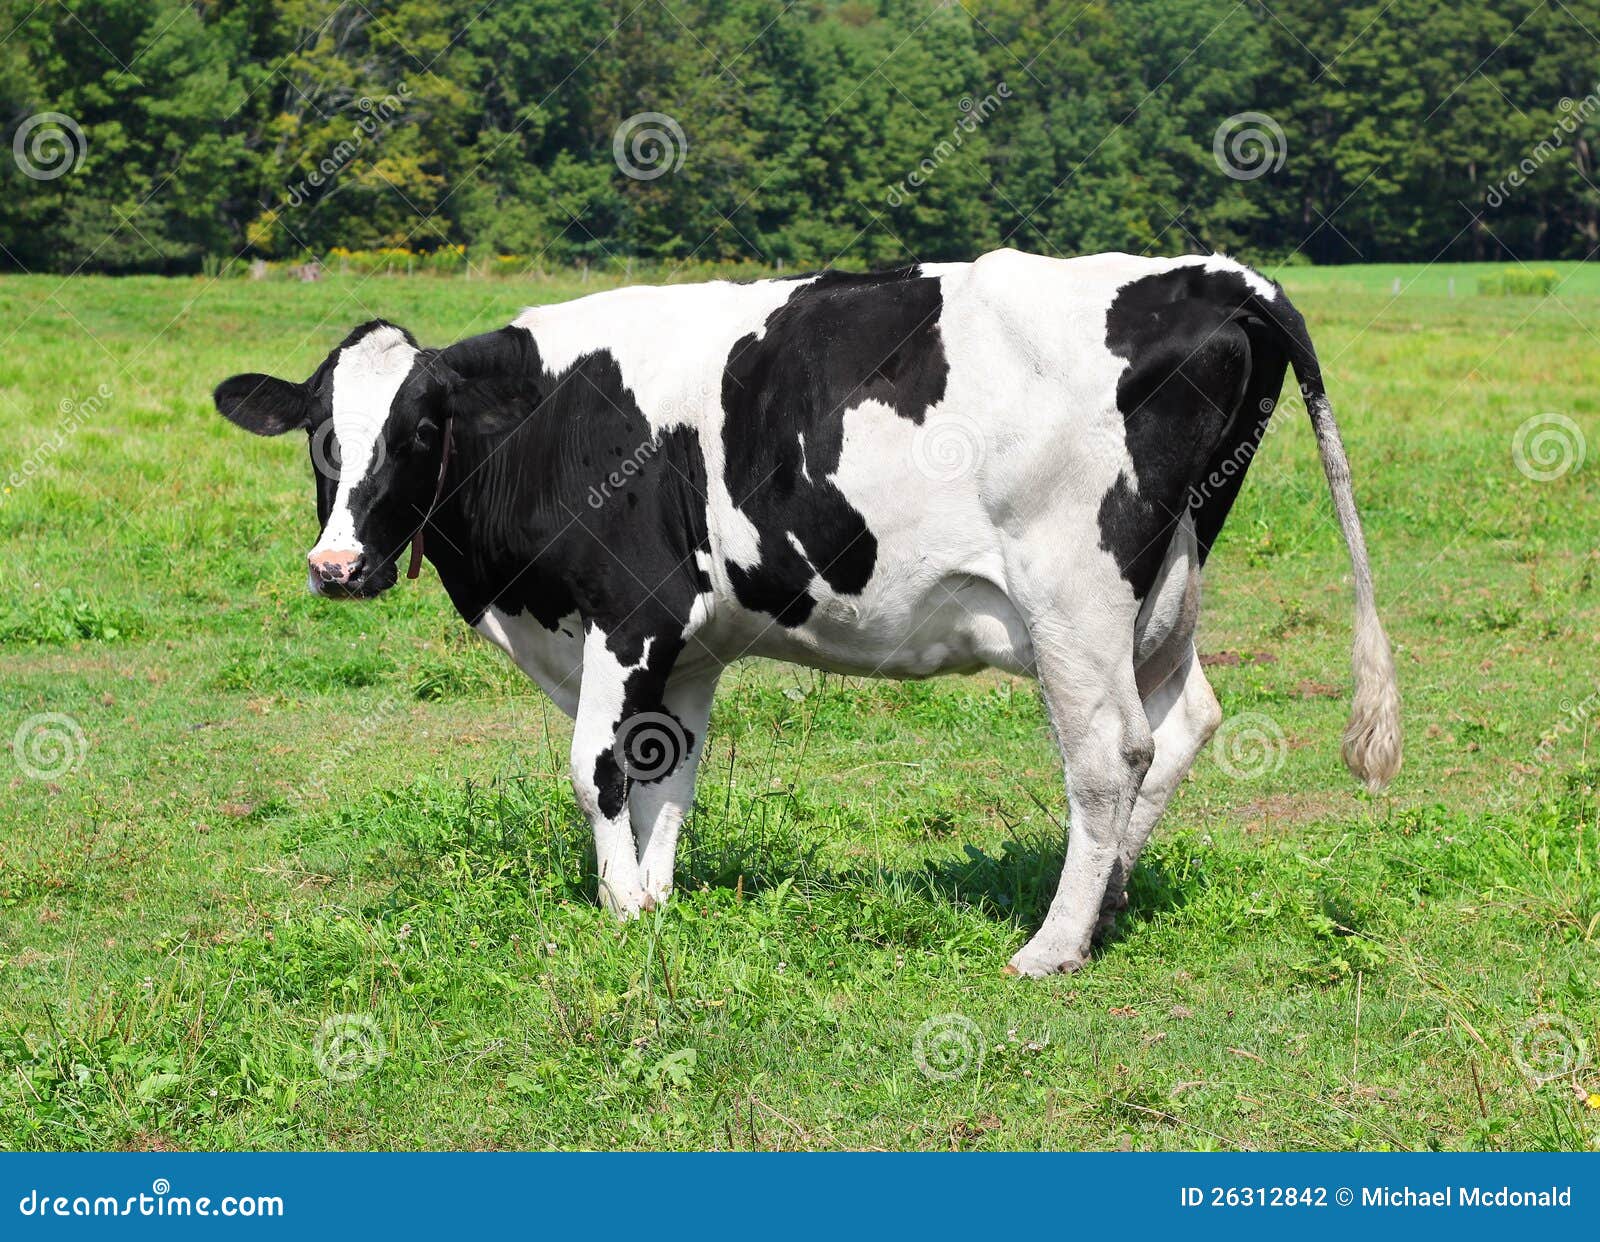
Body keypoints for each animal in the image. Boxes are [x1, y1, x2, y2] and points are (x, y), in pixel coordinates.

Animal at [213, 247, 1400, 977]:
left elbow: (597, 766)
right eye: (322, 434)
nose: (336, 565)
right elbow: (667, 768)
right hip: (1165, 585)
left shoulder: (631, 609)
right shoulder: (689, 644)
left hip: (1074, 589)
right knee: (1184, 722)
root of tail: (1210, 274)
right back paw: (1105, 907)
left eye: (419, 431)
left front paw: (616, 909)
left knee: (1112, 753)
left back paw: (1052, 945)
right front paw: (655, 901)